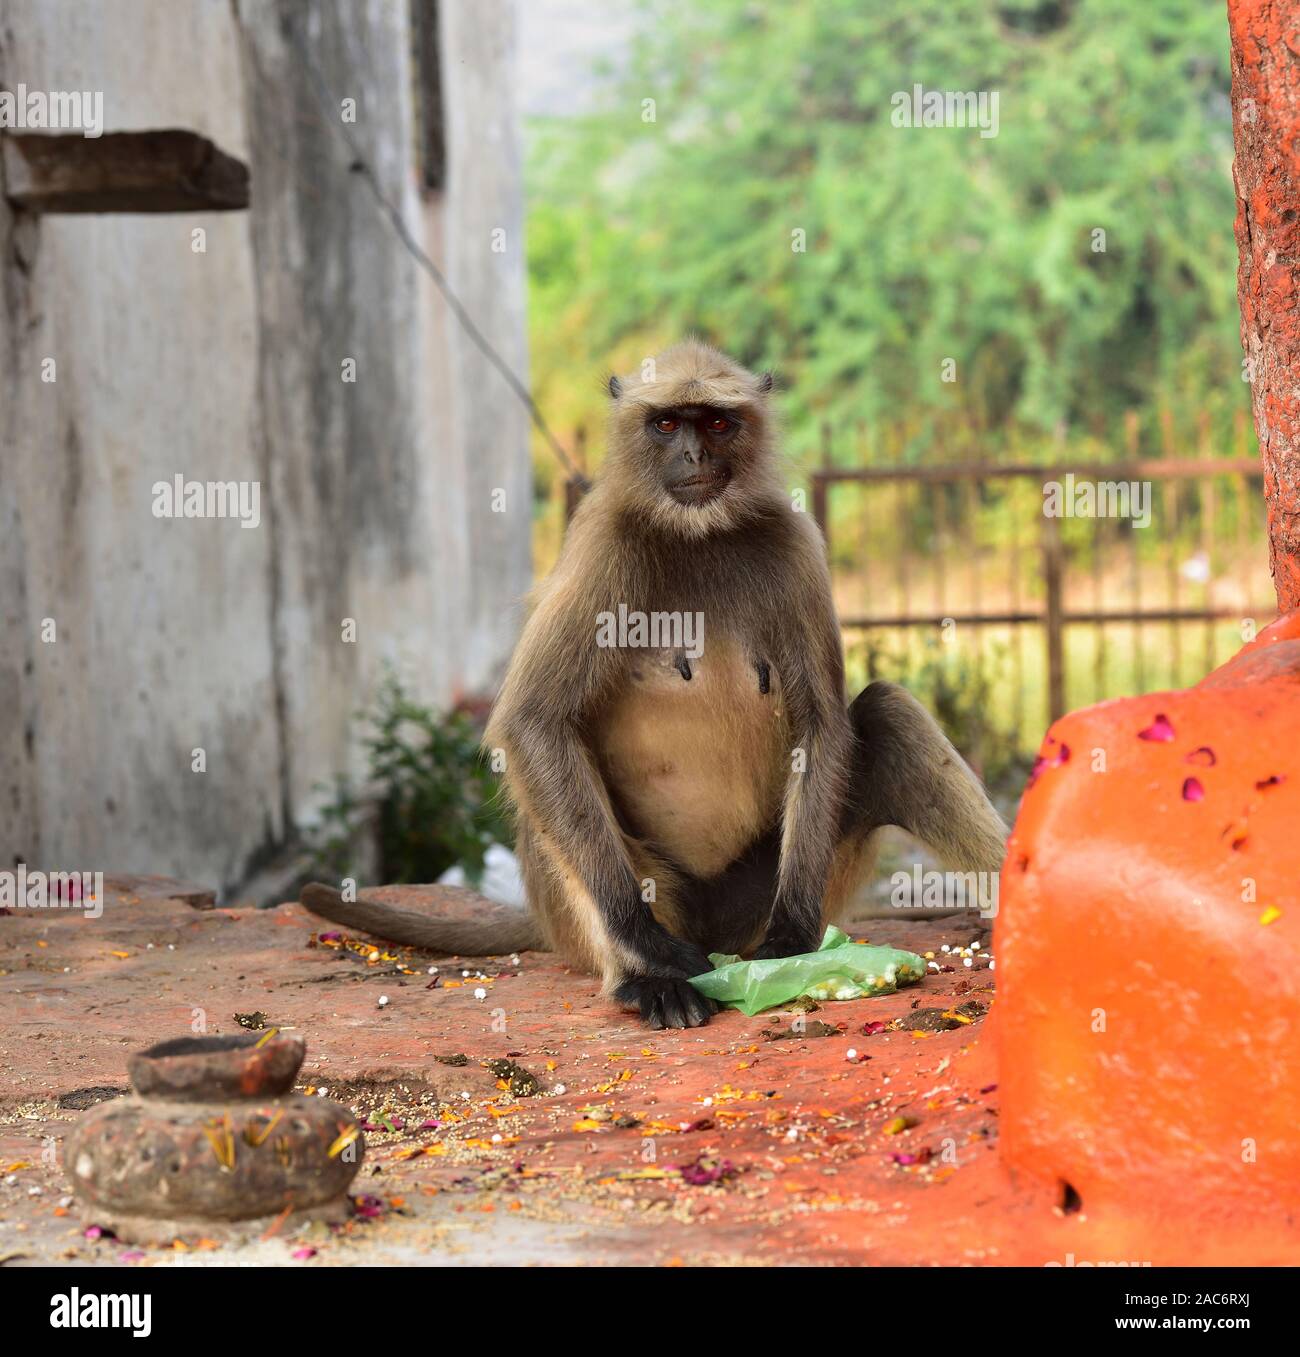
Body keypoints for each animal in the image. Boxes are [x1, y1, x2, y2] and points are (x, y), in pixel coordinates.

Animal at [301, 340, 1008, 1029]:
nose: (693, 454)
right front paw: (645, 949)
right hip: (649, 901)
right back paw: (642, 975)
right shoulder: (601, 539)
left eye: (717, 423)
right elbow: (533, 722)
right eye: (667, 424)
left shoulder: (792, 539)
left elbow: (823, 722)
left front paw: (792, 936)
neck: (696, 533)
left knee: (885, 713)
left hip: (757, 901)